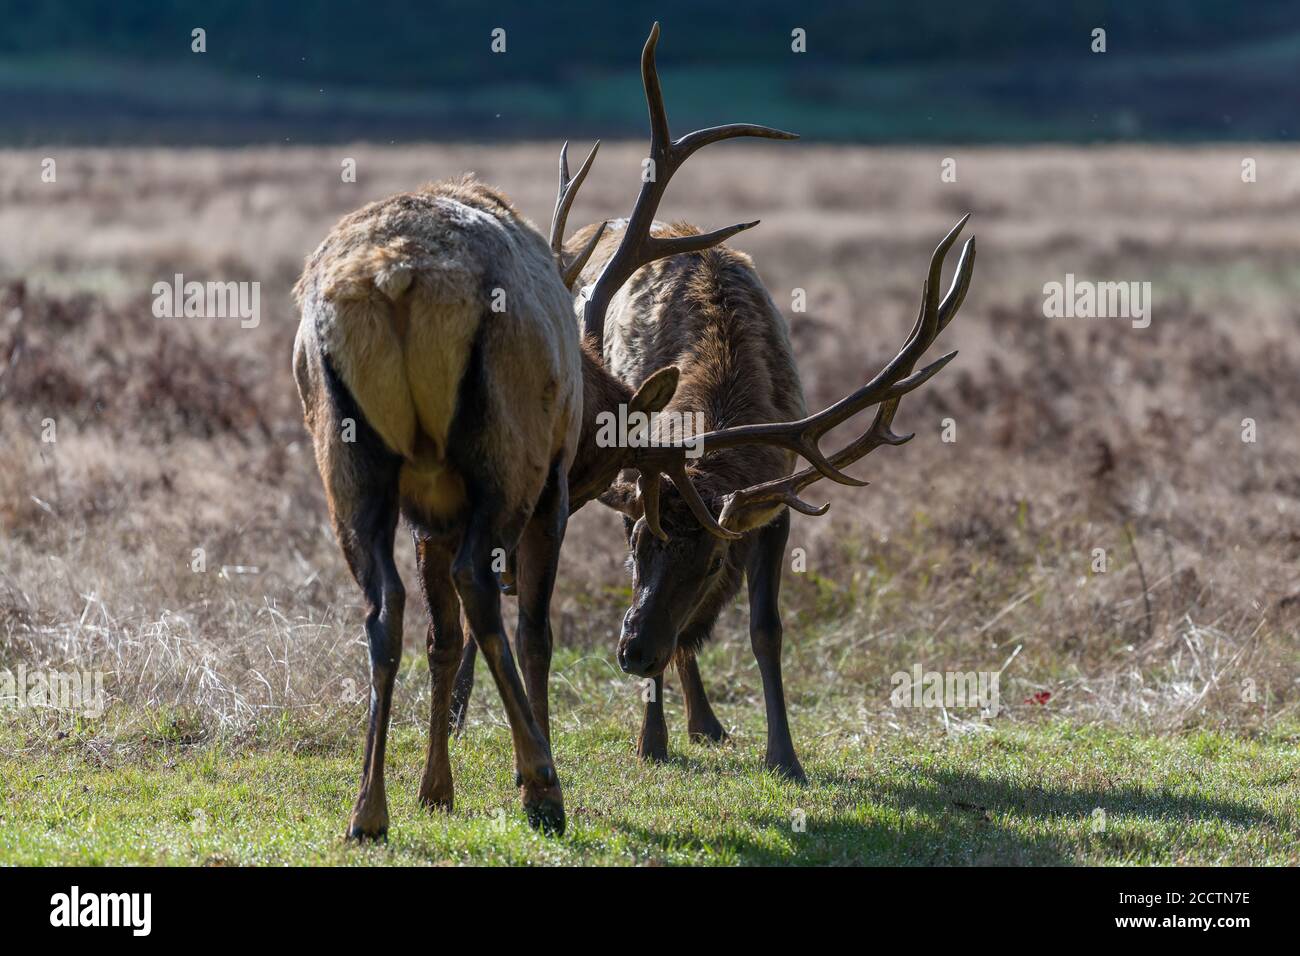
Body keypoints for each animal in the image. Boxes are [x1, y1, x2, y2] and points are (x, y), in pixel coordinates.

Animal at [449, 23, 976, 781]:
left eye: (709, 564)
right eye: (639, 548)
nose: (630, 651)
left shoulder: (776, 501)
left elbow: (766, 628)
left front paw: (782, 754)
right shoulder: (635, 485)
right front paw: (652, 738)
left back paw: (705, 719)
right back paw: (463, 709)